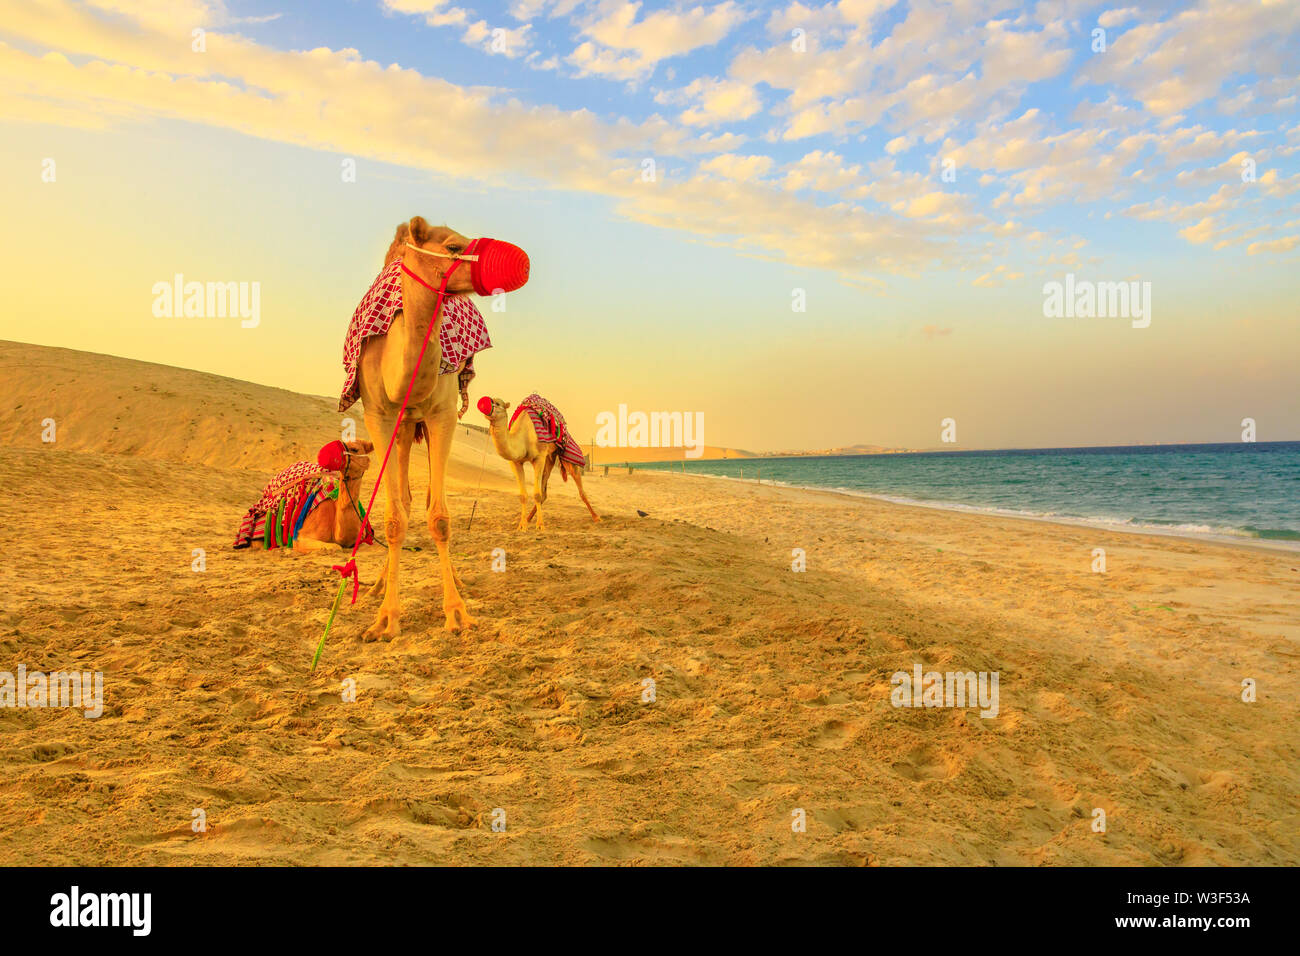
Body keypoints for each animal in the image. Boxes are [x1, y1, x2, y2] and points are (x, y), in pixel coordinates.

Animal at [352, 217, 528, 639]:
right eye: (452, 247)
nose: (518, 261)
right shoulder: (378, 414)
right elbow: (395, 516)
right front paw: (385, 620)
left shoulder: (443, 413)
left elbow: (441, 518)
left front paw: (457, 611)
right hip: (402, 429)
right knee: (403, 499)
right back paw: (378, 585)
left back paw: (457, 582)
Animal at [479, 396, 600, 531]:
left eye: (498, 403)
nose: (484, 402)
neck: (522, 437)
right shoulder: (516, 462)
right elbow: (523, 495)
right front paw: (522, 525)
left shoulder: (539, 457)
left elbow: (537, 494)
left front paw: (540, 525)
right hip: (550, 457)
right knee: (545, 489)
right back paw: (528, 518)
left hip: (565, 453)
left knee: (579, 487)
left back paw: (596, 517)